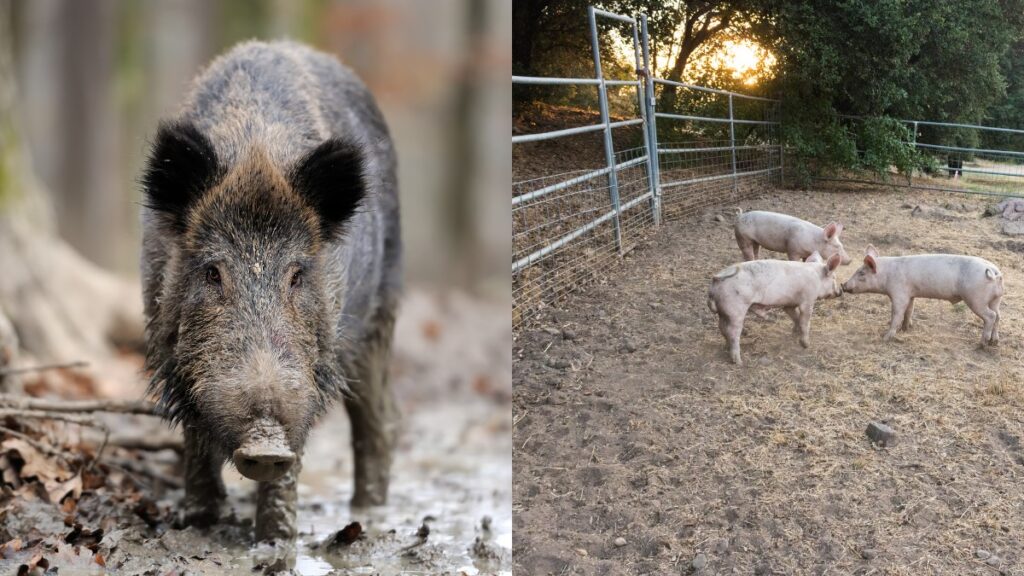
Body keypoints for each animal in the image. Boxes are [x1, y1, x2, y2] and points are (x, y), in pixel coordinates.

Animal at [140, 41, 401, 543]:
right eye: (213, 272)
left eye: (297, 275)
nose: (266, 444)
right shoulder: (168, 344)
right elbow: (195, 436)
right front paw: (200, 521)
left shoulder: (315, 370)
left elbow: (296, 454)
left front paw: (275, 539)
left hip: (382, 315)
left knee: (375, 421)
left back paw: (369, 511)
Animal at [707, 252, 843, 365]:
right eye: (834, 278)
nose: (840, 291)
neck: (817, 279)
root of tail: (716, 280)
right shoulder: (808, 300)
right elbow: (805, 321)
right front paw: (805, 345)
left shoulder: (789, 304)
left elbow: (795, 317)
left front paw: (794, 333)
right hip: (736, 310)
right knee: (732, 332)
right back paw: (739, 362)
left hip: (724, 312)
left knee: (722, 328)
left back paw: (726, 347)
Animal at [841, 246, 1003, 345]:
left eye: (861, 273)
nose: (843, 285)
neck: (886, 275)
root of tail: (995, 272)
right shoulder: (910, 295)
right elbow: (909, 311)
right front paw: (905, 328)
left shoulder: (899, 293)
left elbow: (896, 313)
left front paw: (886, 337)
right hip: (995, 299)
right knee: (998, 315)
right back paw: (994, 342)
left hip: (976, 299)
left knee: (991, 316)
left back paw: (982, 344)